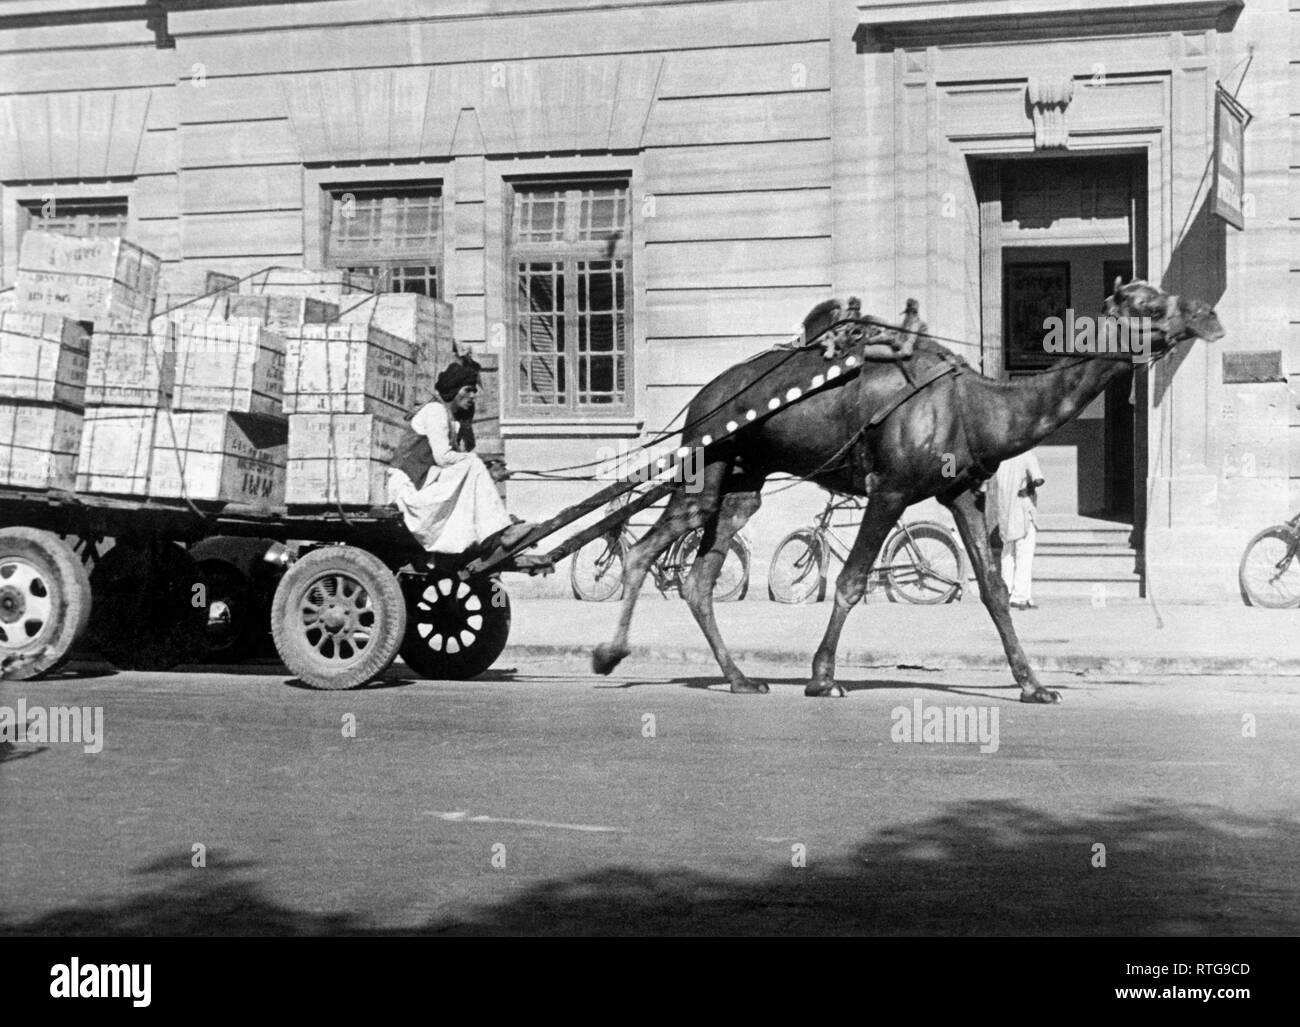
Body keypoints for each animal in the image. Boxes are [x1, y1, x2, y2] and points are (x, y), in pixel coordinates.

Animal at [592, 280, 1224, 701]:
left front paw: (1035, 686)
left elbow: (994, 589)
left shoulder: (963, 493)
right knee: (649, 547)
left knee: (701, 571)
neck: (979, 408)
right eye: (1148, 304)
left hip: (745, 477)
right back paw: (608, 655)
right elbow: (850, 581)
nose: (1209, 315)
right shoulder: (891, 488)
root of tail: (698, 401)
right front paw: (823, 678)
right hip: (707, 459)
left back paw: (742, 679)